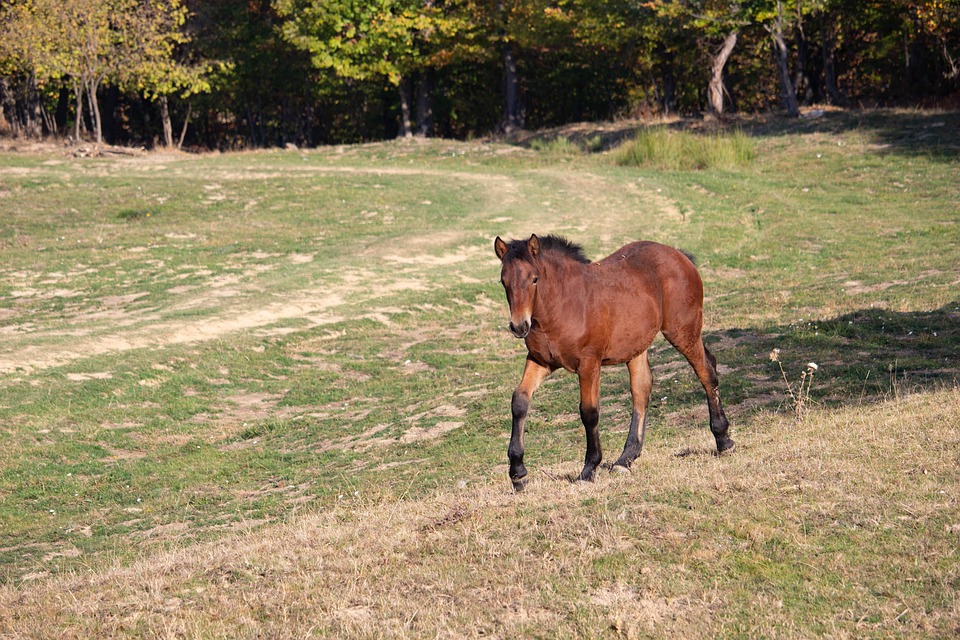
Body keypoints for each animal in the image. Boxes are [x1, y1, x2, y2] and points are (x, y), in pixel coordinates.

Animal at [494, 233, 734, 491]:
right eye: (503, 281)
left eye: (534, 279)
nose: (519, 326)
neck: (562, 305)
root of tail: (680, 255)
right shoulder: (540, 361)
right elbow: (519, 401)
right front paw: (518, 474)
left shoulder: (589, 363)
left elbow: (589, 412)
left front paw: (588, 469)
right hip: (637, 347)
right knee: (641, 389)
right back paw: (625, 459)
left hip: (683, 331)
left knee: (706, 371)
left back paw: (723, 441)